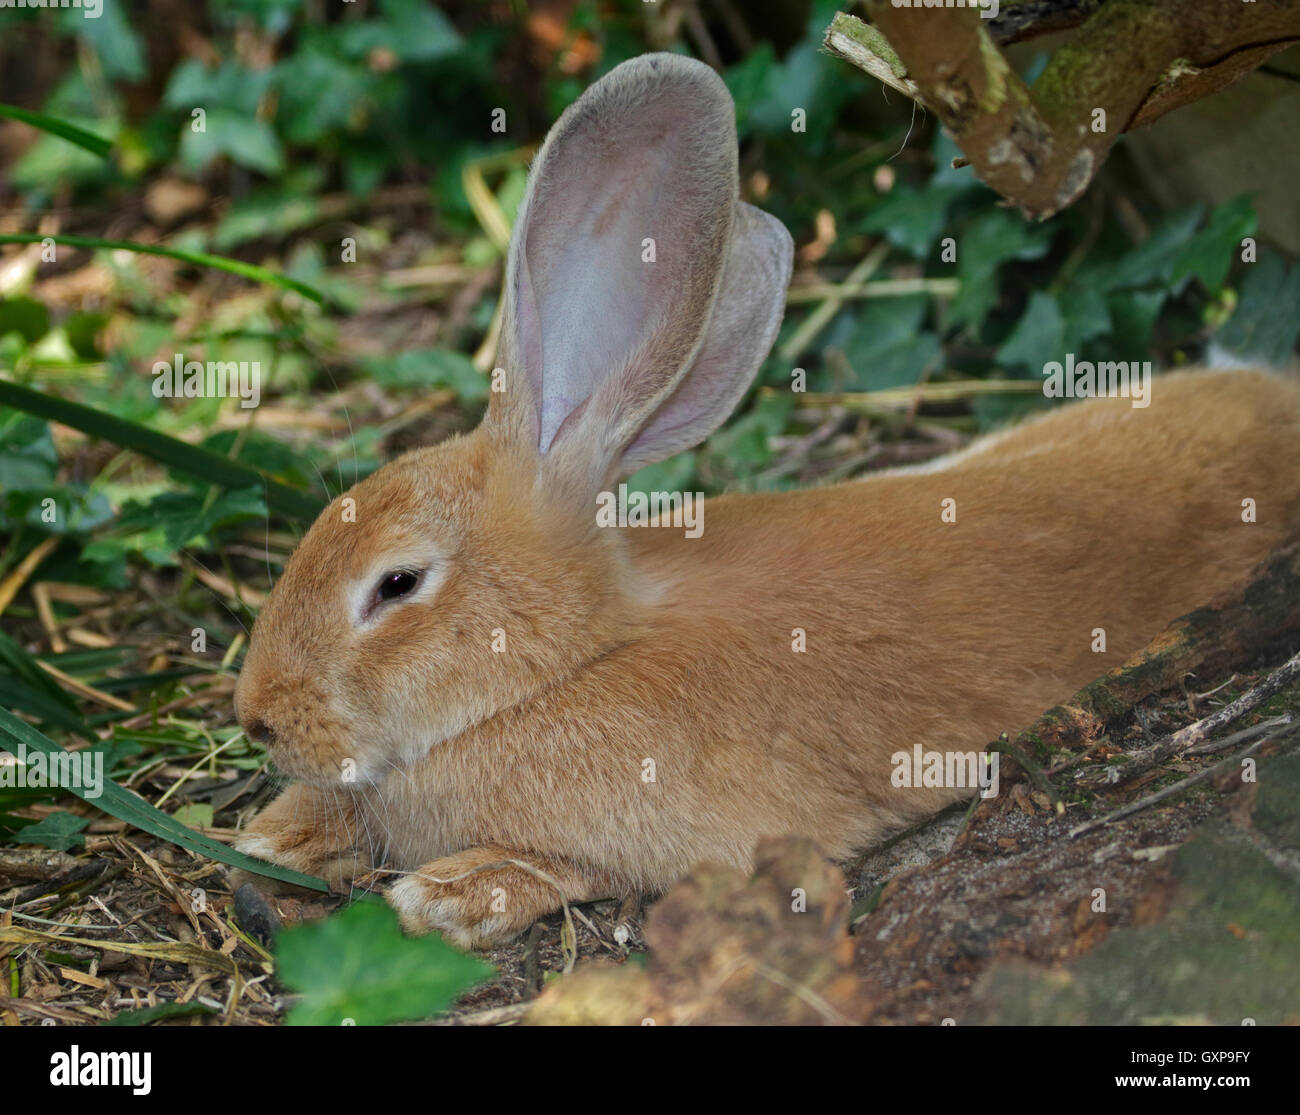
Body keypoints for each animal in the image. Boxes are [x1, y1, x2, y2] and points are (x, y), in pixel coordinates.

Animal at [231, 52, 1300, 947]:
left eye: (398, 584)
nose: (256, 722)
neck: (576, 661)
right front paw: (278, 833)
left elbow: (573, 869)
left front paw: (452, 892)